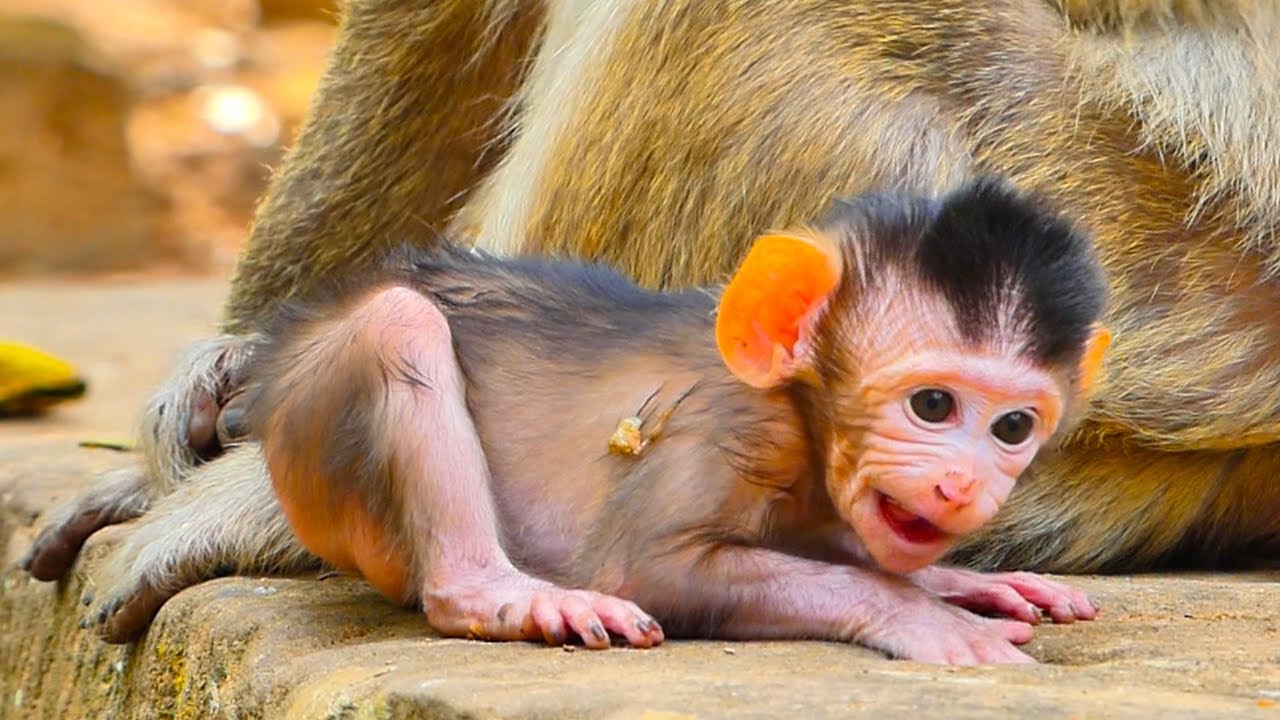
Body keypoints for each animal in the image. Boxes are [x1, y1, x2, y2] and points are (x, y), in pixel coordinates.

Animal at [240, 178, 1108, 663]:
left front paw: (955, 582)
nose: (962, 485)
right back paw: (499, 594)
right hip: (311, 427)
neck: (802, 412)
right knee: (399, 323)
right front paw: (922, 614)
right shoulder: (726, 431)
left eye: (1012, 428)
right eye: (933, 405)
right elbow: (648, 569)